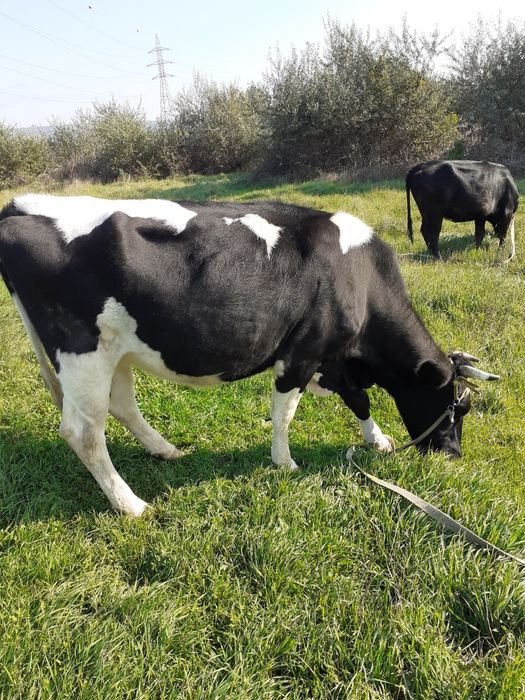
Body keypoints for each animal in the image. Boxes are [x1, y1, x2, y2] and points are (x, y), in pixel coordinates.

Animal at [0, 194, 500, 515]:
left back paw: (166, 451)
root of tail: (20, 207)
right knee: (84, 432)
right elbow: (285, 412)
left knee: (121, 406)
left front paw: (376, 440)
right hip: (82, 351)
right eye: (456, 409)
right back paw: (131, 505)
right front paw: (285, 462)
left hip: (116, 350)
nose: (452, 456)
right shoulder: (303, 352)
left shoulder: (335, 358)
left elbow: (358, 399)